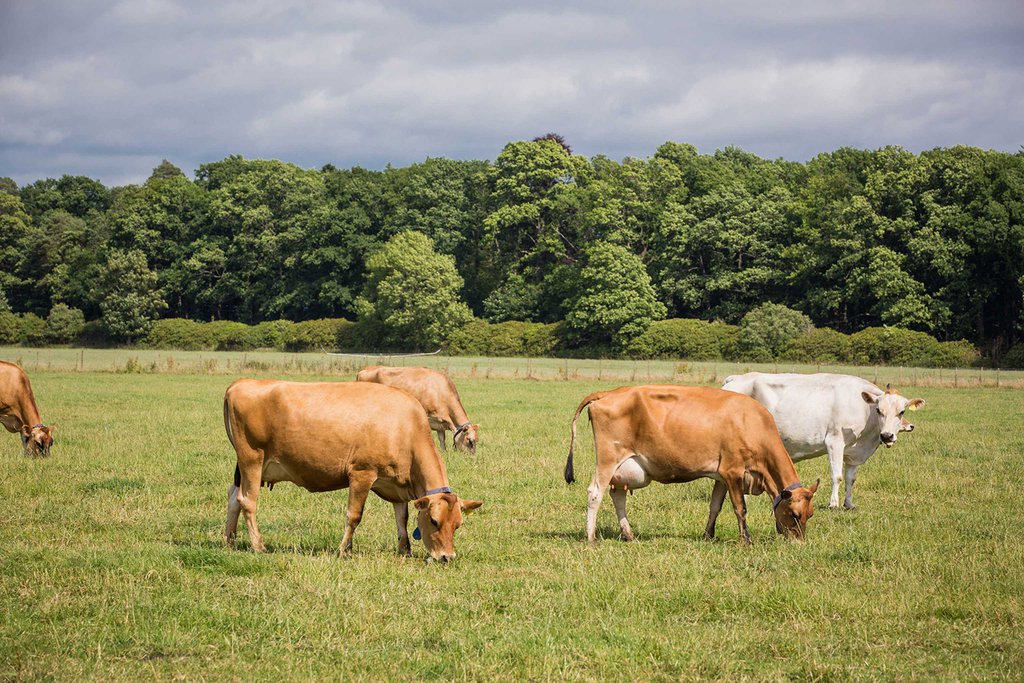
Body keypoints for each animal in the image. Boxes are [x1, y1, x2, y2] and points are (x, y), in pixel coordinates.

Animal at [223, 379, 482, 562]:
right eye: (434, 521)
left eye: (457, 525)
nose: (446, 557)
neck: (404, 428)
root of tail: (241, 383)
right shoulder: (362, 473)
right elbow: (354, 515)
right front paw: (344, 549)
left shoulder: (397, 484)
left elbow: (402, 518)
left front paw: (405, 550)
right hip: (252, 459)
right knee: (247, 501)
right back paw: (258, 545)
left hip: (242, 467)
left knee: (233, 498)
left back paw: (229, 540)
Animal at [564, 385, 818, 544]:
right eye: (795, 514)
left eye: (811, 514)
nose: (799, 543)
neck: (752, 423)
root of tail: (608, 393)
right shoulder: (733, 470)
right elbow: (740, 508)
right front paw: (746, 540)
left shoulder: (722, 476)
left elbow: (715, 506)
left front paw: (708, 535)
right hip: (608, 458)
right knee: (595, 492)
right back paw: (591, 537)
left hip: (624, 468)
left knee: (618, 496)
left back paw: (628, 534)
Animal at [721, 372, 925, 510]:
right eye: (878, 410)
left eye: (901, 412)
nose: (887, 436)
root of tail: (734, 379)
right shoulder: (835, 441)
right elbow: (837, 476)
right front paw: (833, 503)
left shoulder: (855, 453)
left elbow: (851, 479)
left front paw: (849, 504)